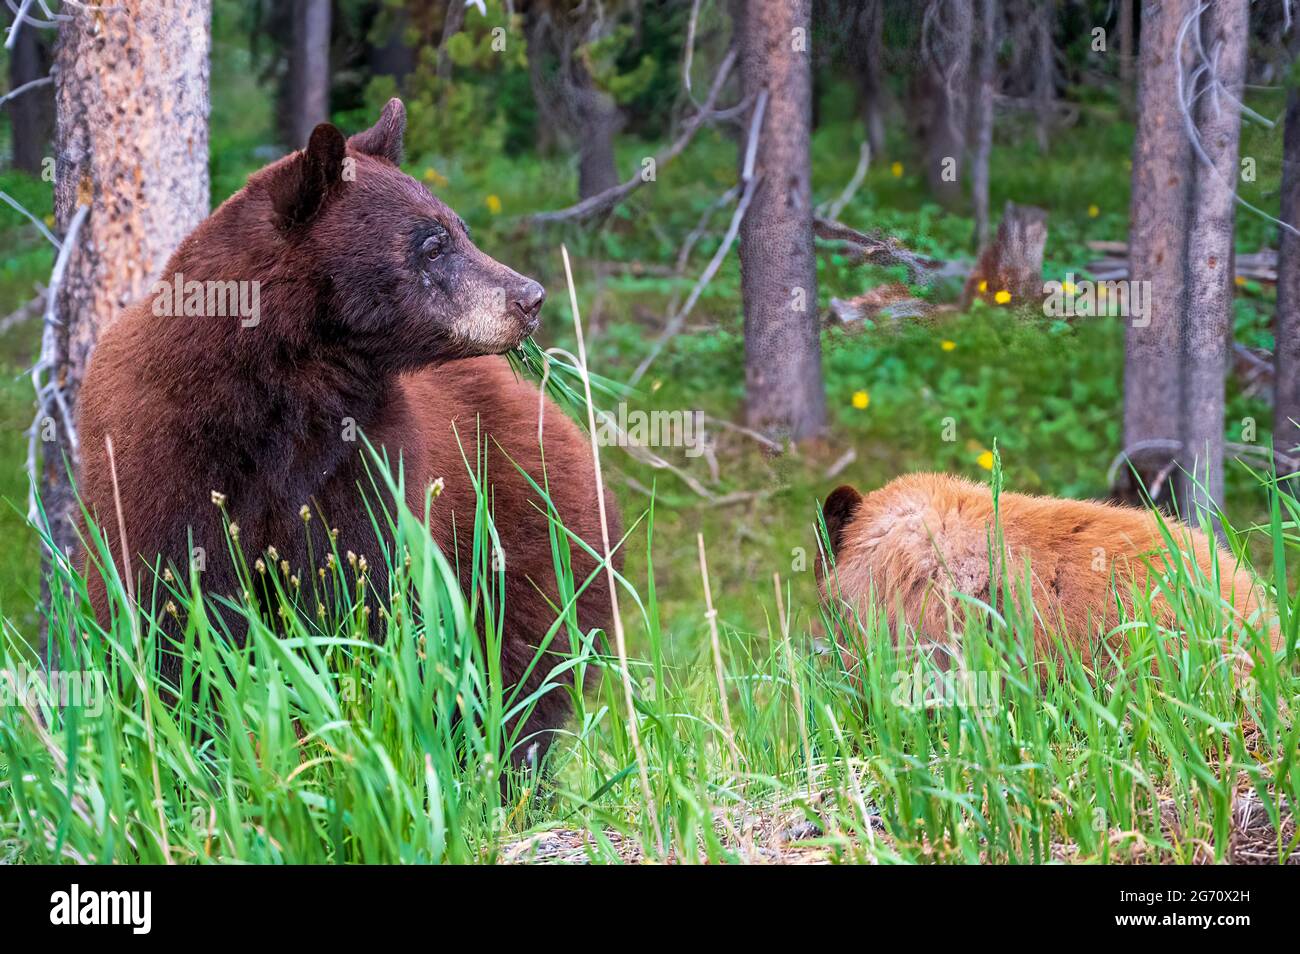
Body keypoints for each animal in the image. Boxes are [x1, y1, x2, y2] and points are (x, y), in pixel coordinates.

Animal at [75, 99, 619, 767]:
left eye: (459, 227)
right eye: (434, 244)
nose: (531, 297)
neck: (283, 395)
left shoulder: (369, 462)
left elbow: (359, 601)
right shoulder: (158, 460)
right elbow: (174, 618)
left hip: (525, 540)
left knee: (519, 675)